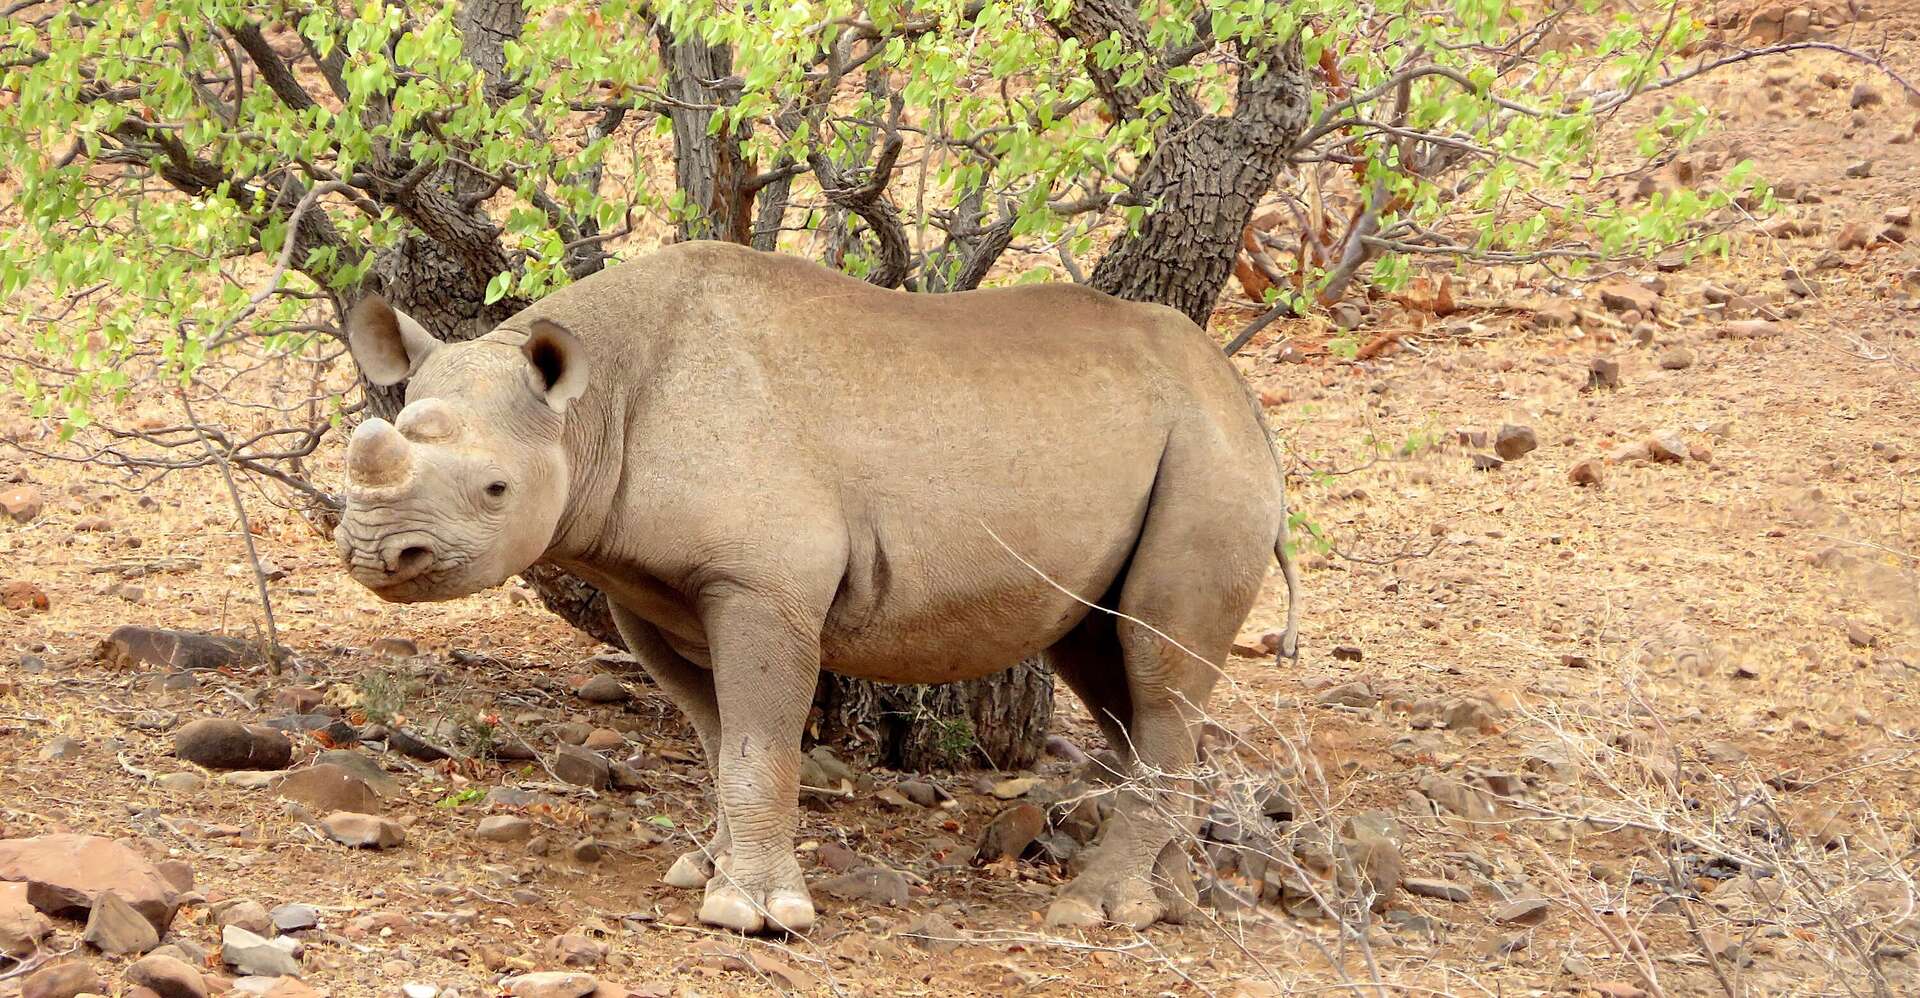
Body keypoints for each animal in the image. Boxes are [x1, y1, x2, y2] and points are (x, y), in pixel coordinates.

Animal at [336, 240, 1300, 933]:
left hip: (1207, 455)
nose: (378, 556)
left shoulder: (762, 587)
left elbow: (760, 745)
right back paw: (1164, 904)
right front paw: (711, 872)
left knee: (1156, 657)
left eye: (496, 489)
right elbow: (720, 736)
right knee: (1115, 669)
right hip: (1170, 441)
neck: (589, 408)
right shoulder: (647, 592)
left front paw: (755, 912)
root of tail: (1241, 392)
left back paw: (1097, 910)